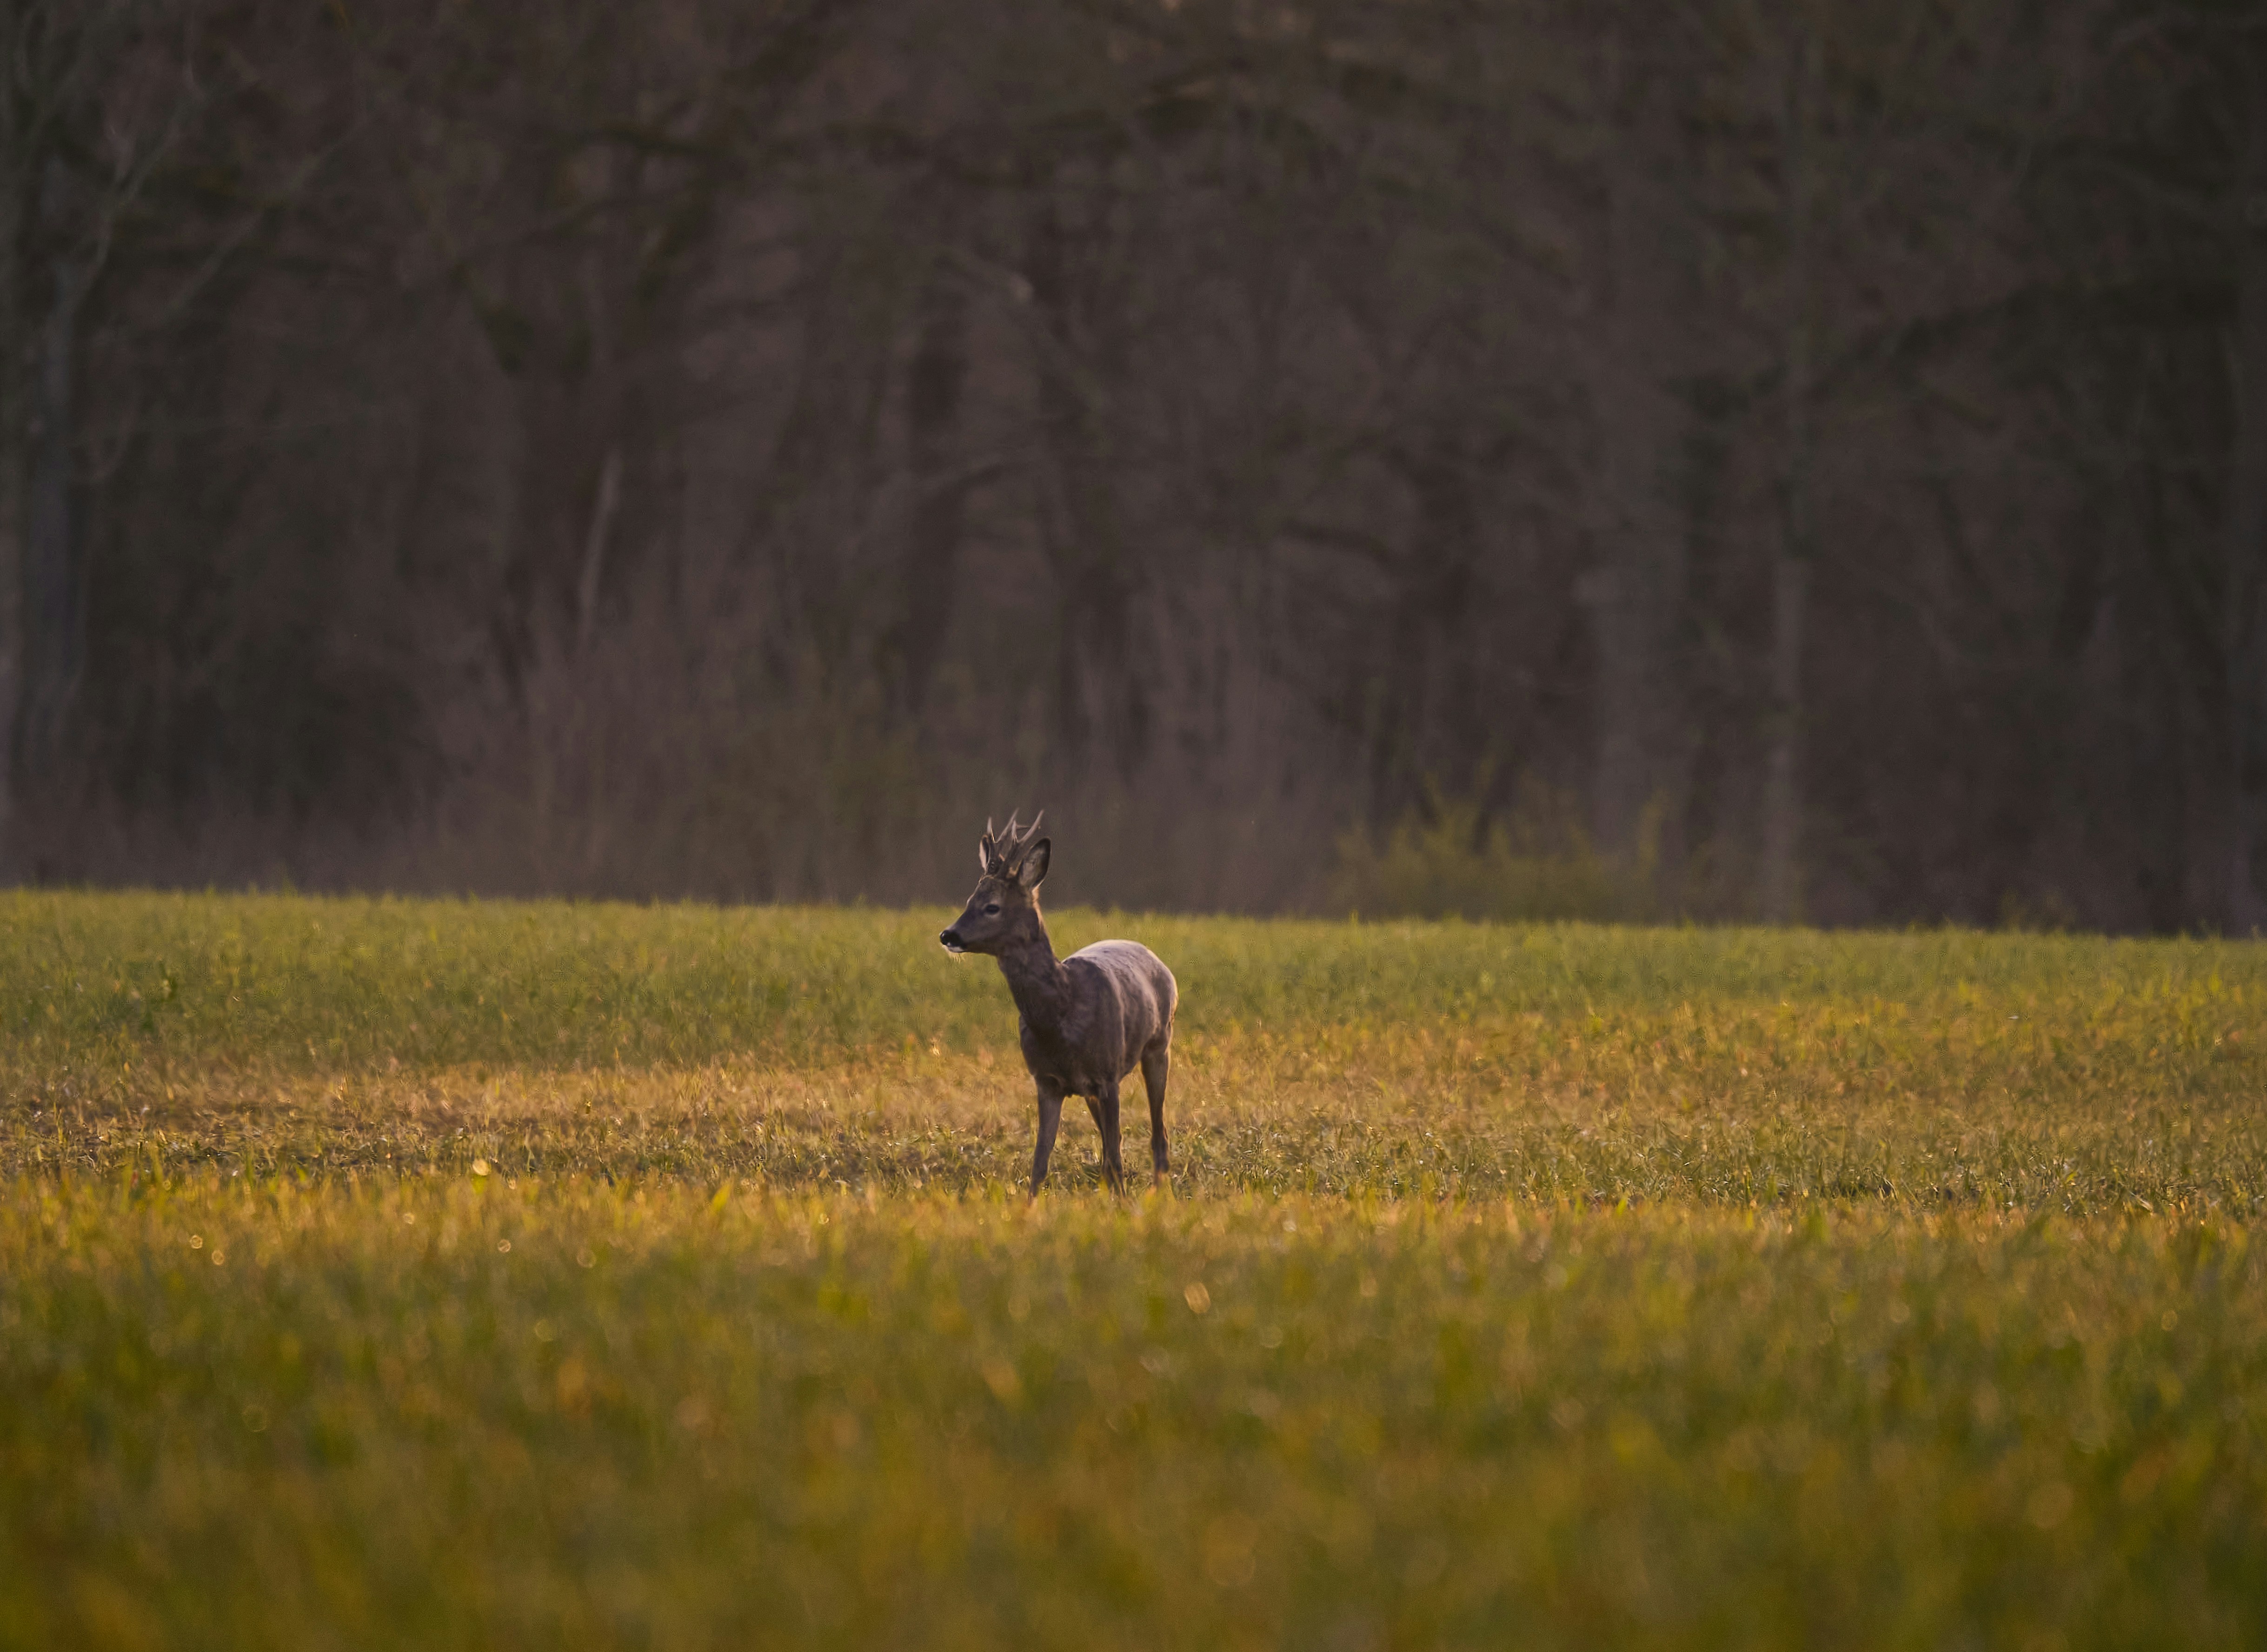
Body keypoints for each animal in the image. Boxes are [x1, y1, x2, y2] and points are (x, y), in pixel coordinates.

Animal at [938, 812, 1177, 1196]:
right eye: (969, 901)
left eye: (992, 906)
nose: (948, 935)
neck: (1063, 1014)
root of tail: (1155, 957)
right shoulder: (1046, 1080)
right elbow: (1040, 1163)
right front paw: (1030, 1206)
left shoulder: (1108, 1075)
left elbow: (1115, 1156)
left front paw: (1126, 1205)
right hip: (1094, 1088)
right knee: (1112, 1146)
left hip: (1159, 1045)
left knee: (1157, 1134)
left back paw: (1158, 1191)